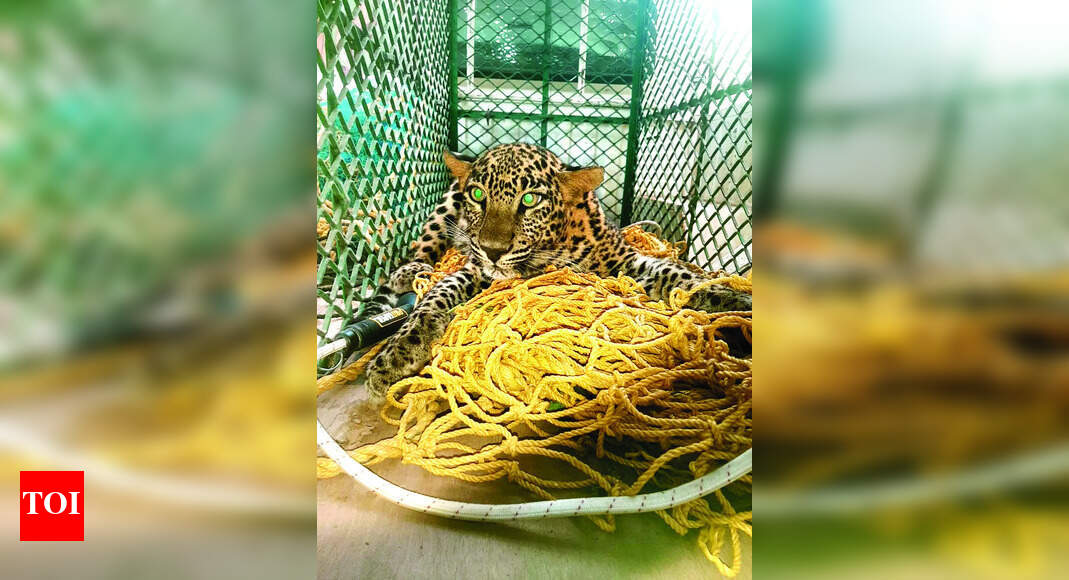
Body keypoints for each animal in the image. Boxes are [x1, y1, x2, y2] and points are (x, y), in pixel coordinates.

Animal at [363, 143, 751, 399]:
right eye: (478, 195)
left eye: (530, 200)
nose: (492, 250)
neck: (557, 243)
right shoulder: (475, 269)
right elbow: (436, 295)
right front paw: (398, 351)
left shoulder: (624, 262)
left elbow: (679, 276)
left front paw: (733, 301)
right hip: (443, 209)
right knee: (421, 252)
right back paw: (410, 271)